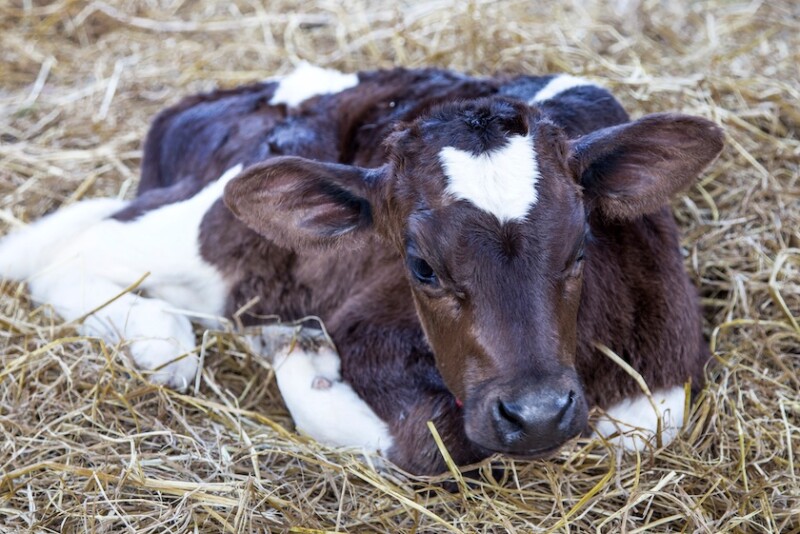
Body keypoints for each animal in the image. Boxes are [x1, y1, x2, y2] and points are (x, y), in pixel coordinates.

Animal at [0, 64, 724, 475]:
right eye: (420, 266)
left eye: (581, 246)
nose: (539, 414)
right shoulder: (365, 327)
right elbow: (427, 444)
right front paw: (304, 360)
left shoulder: (663, 363)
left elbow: (644, 430)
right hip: (210, 234)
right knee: (78, 251)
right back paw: (162, 342)